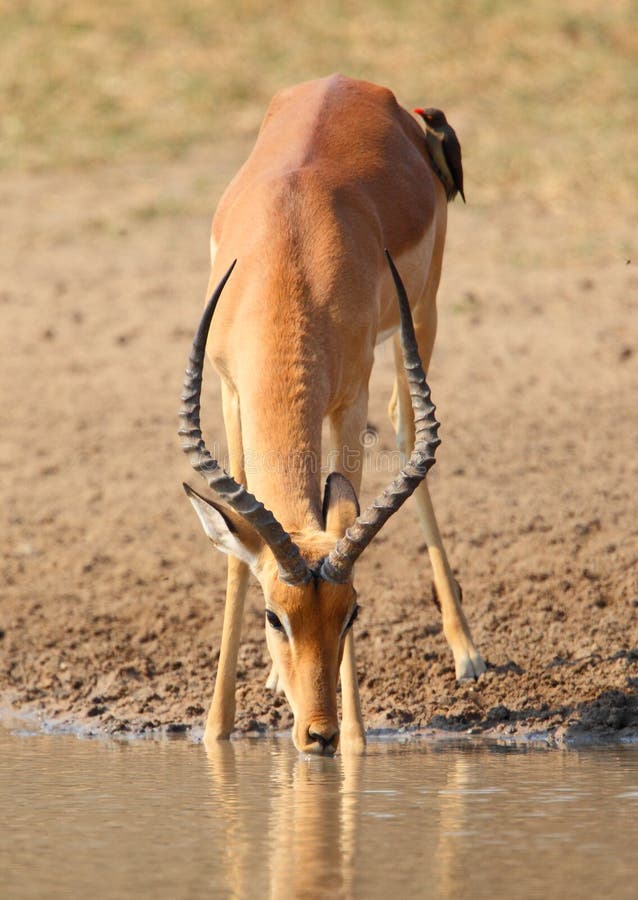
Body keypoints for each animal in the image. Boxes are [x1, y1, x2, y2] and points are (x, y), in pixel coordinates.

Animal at [179, 74, 486, 756]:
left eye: (352, 612)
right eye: (275, 616)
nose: (316, 734)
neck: (288, 252)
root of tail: (356, 84)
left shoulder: (351, 397)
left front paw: (357, 742)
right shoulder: (229, 391)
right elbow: (236, 558)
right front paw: (216, 729)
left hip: (421, 315)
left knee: (406, 428)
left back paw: (467, 651)